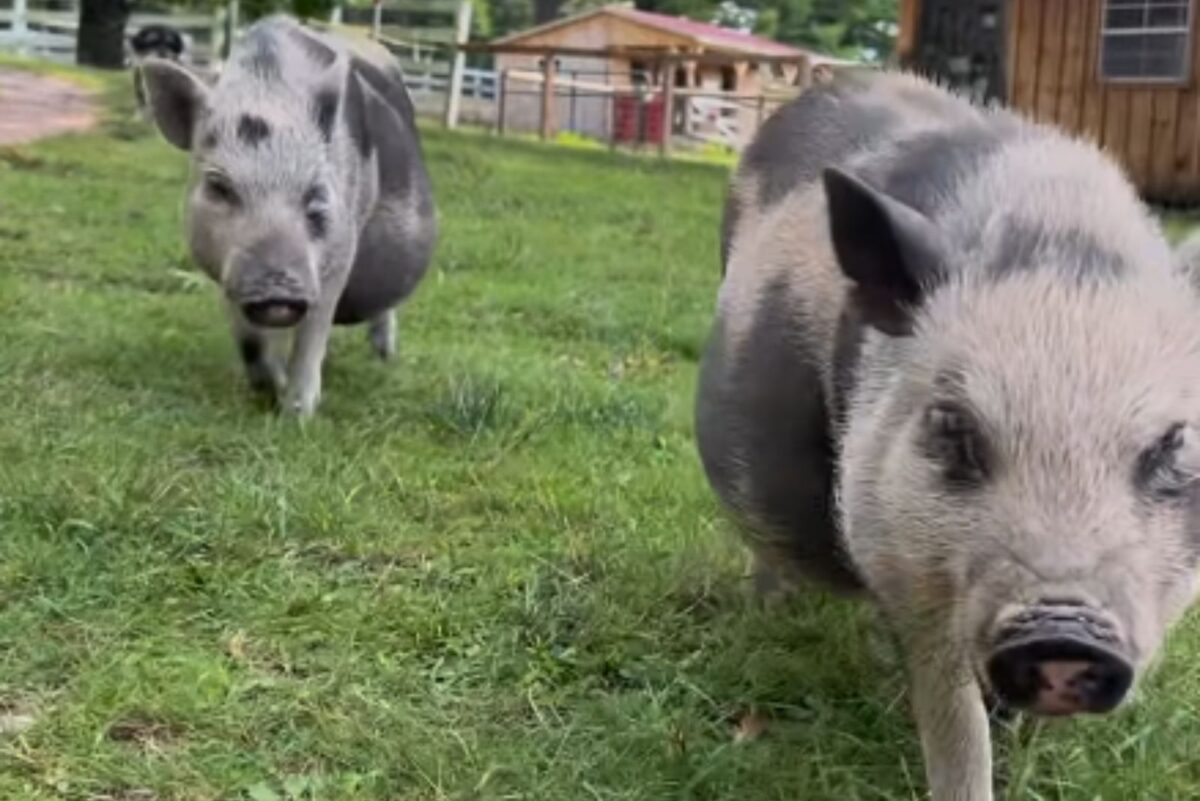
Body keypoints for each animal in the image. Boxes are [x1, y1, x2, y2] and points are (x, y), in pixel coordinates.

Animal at [139, 15, 437, 416]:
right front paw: (271, 389)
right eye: (218, 185)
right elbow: (249, 341)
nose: (278, 287)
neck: (268, 89)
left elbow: (313, 335)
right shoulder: (224, 271)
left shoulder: (340, 252)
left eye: (316, 190)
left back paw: (385, 358)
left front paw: (297, 415)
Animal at [696, 69, 1200, 801]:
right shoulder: (894, 546)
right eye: (953, 426)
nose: (1063, 630)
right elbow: (953, 716)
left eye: (1173, 446)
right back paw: (769, 615)